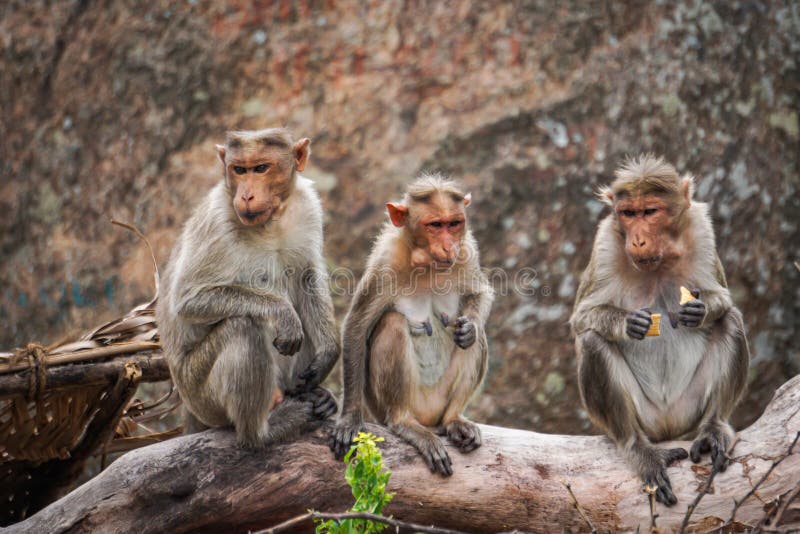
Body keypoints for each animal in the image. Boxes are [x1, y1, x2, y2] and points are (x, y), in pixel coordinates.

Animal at [156, 128, 340, 449]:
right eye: (239, 169)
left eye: (261, 168)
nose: (246, 195)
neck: (271, 223)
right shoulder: (215, 222)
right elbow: (188, 299)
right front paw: (283, 312)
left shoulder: (307, 205)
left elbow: (307, 277)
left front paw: (329, 352)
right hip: (201, 393)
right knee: (242, 326)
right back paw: (263, 432)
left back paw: (314, 397)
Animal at [330, 174, 494, 476]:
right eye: (435, 225)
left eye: (454, 223)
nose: (449, 246)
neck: (425, 261)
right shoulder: (386, 262)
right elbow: (357, 327)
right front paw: (349, 419)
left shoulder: (467, 251)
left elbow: (480, 293)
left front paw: (470, 327)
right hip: (393, 405)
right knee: (392, 323)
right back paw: (404, 423)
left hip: (439, 402)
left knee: (477, 340)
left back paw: (454, 419)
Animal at [570, 154, 749, 505]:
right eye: (628, 214)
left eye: (650, 212)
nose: (638, 239)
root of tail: (668, 428)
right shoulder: (606, 242)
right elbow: (581, 319)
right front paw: (628, 322)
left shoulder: (701, 230)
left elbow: (723, 298)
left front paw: (699, 309)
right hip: (646, 417)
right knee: (593, 341)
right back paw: (638, 448)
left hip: (689, 407)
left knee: (731, 319)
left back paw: (714, 428)